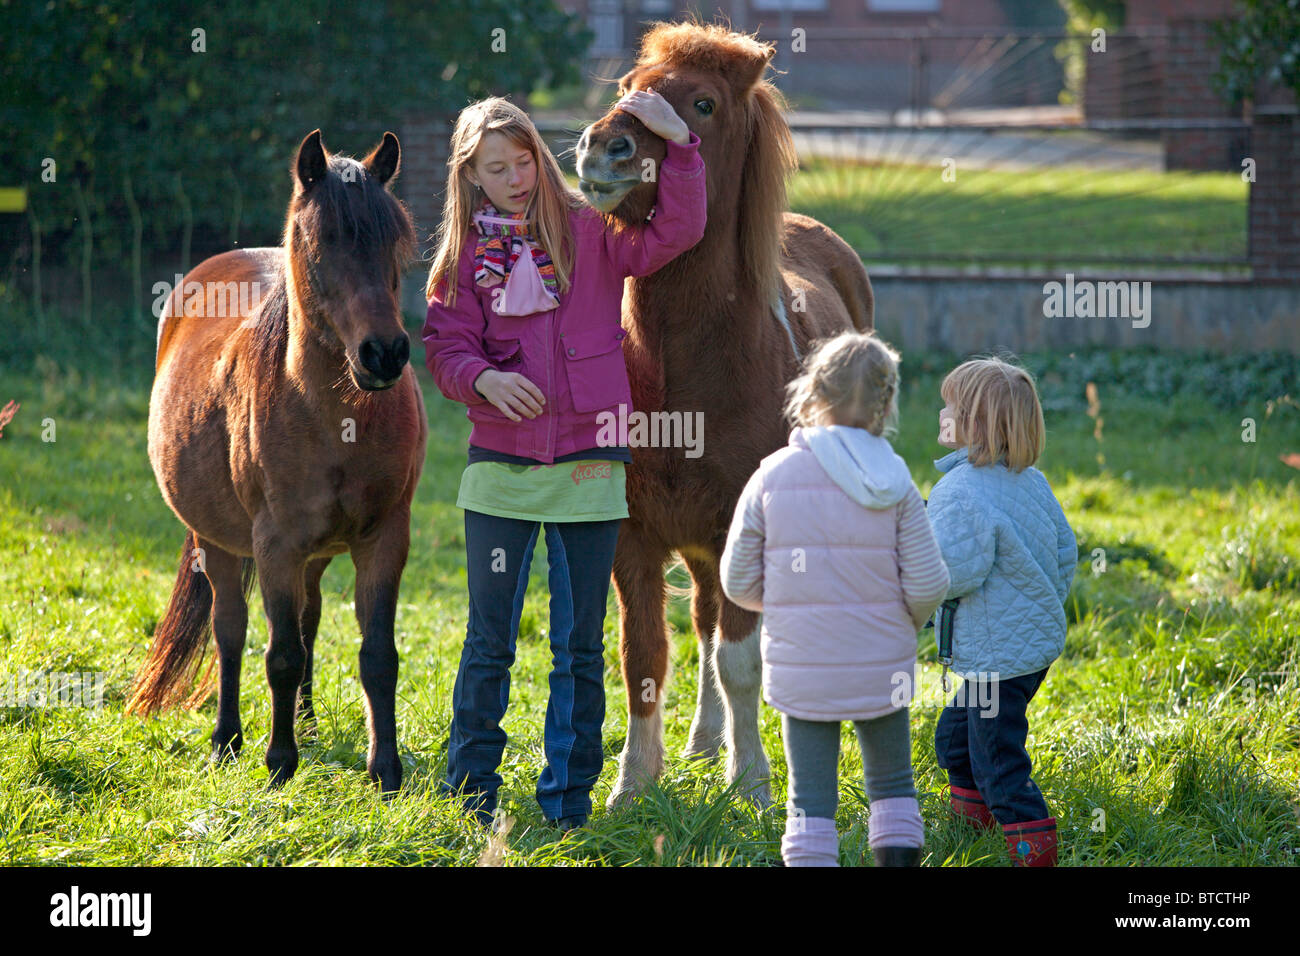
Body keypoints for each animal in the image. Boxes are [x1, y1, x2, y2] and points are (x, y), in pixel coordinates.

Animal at [125, 130, 427, 794]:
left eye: (394, 241)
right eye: (320, 243)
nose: (385, 353)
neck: (335, 414)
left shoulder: (383, 539)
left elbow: (377, 656)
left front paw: (385, 771)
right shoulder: (275, 545)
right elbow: (280, 654)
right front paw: (279, 763)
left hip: (314, 556)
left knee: (310, 622)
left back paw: (308, 726)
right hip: (217, 541)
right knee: (231, 631)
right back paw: (228, 740)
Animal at [575, 22, 874, 807]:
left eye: (703, 103)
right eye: (629, 86)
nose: (603, 147)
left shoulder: (744, 525)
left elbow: (743, 661)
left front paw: (754, 783)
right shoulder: (634, 535)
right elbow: (645, 658)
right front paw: (634, 784)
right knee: (705, 621)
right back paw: (704, 739)